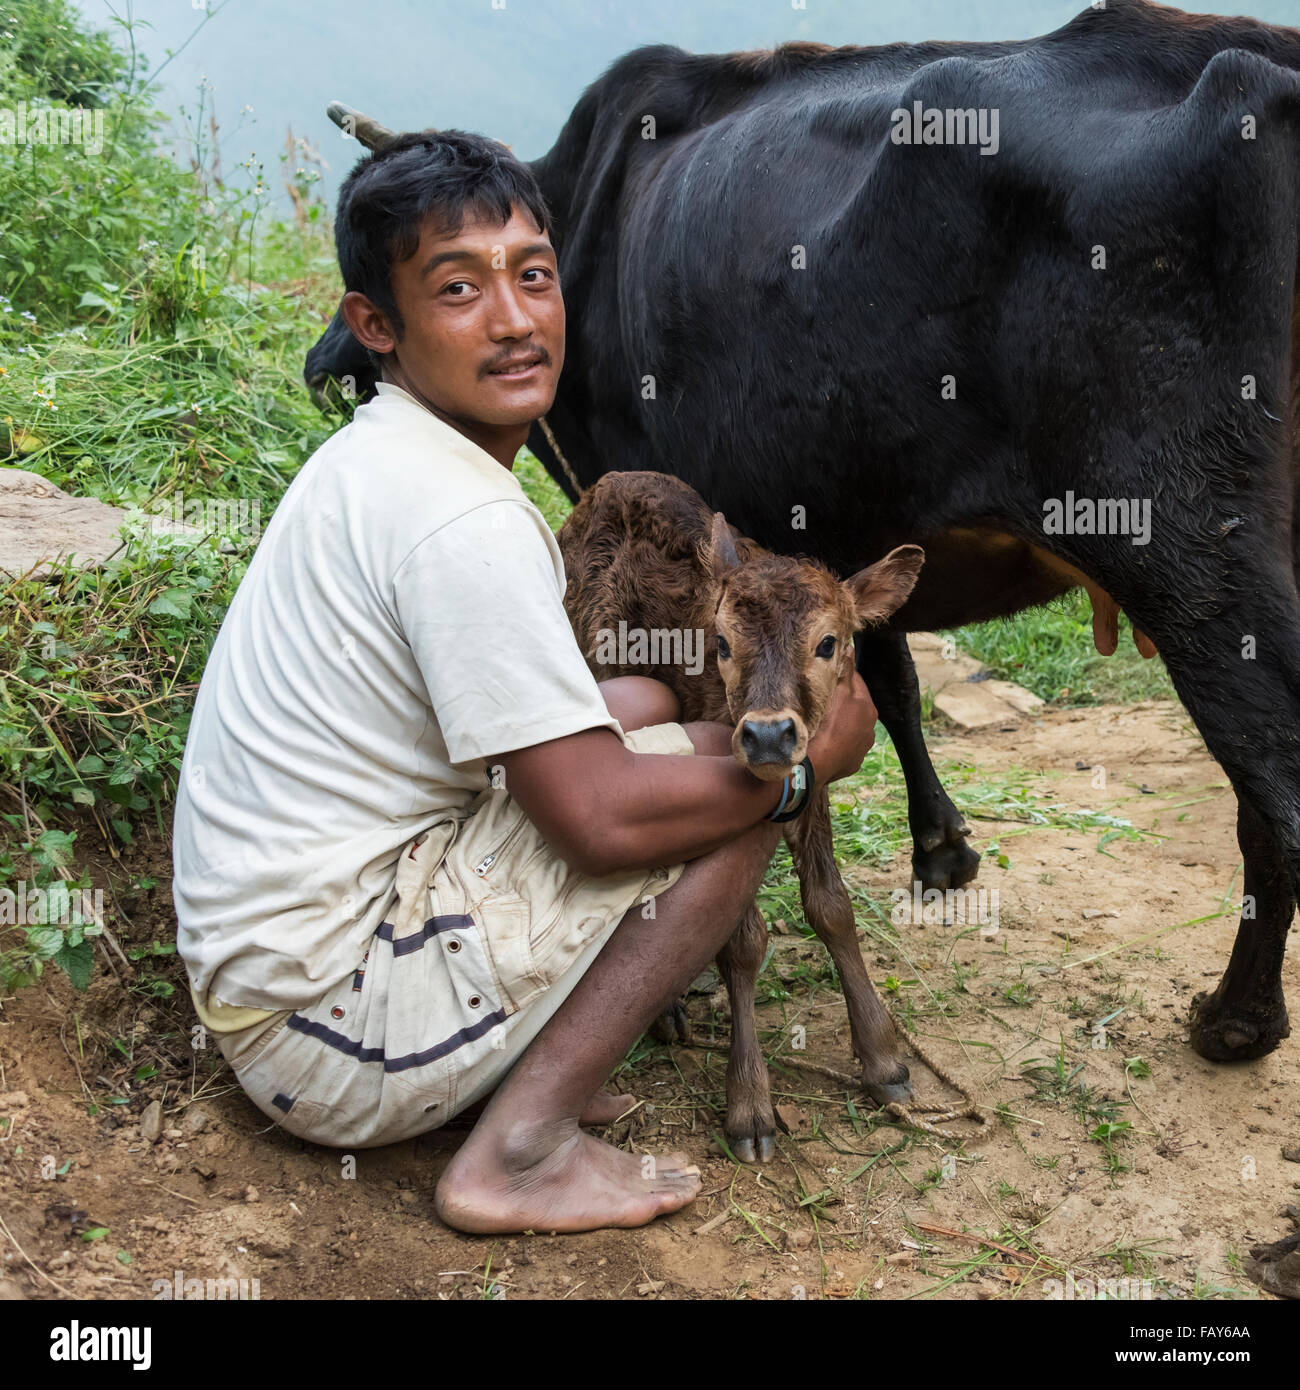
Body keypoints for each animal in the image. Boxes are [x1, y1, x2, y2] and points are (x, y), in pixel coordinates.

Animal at [304, 0, 1300, 1072]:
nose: (324, 364)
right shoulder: (844, 524)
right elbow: (889, 674)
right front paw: (944, 848)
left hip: (1196, 549)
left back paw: (1236, 1019)